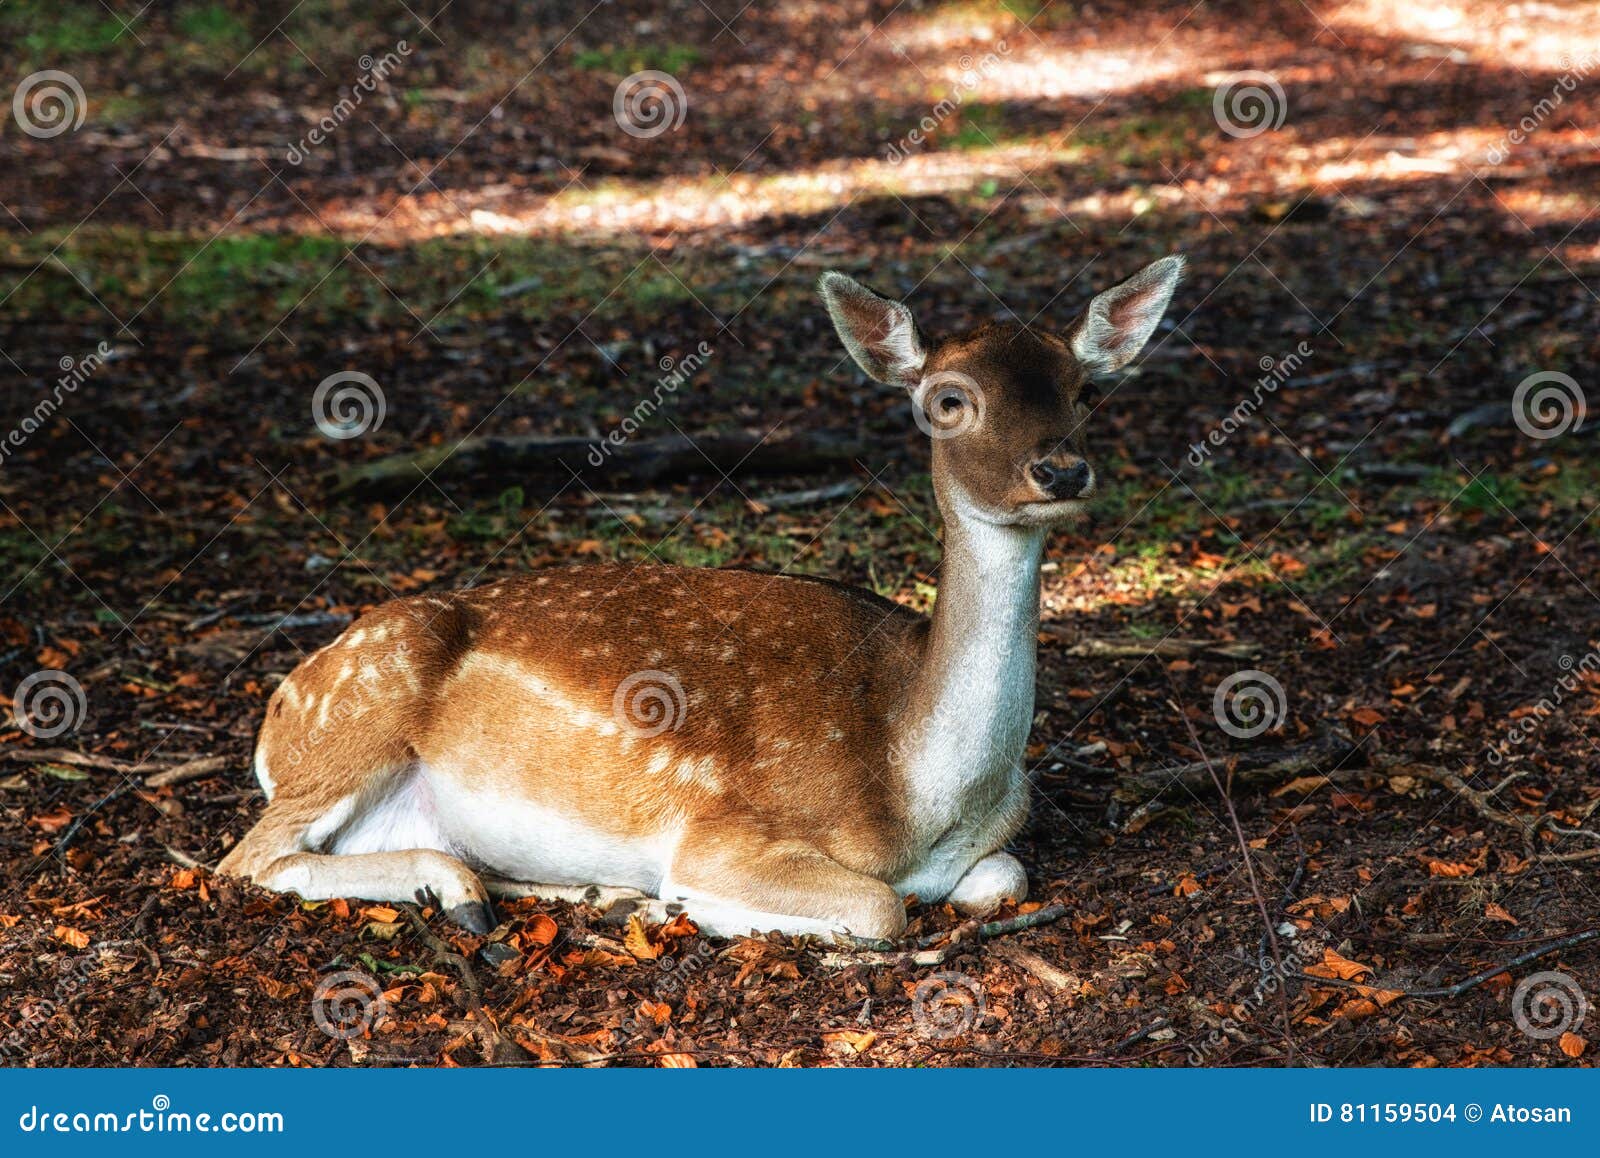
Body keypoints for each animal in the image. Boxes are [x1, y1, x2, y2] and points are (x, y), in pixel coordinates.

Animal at [217, 255, 1184, 940]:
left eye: (1087, 391)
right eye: (948, 399)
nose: (1060, 470)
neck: (923, 797)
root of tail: (276, 711)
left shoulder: (988, 849)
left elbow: (1004, 876)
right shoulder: (726, 832)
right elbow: (879, 909)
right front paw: (677, 905)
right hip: (351, 730)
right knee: (248, 859)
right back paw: (477, 893)